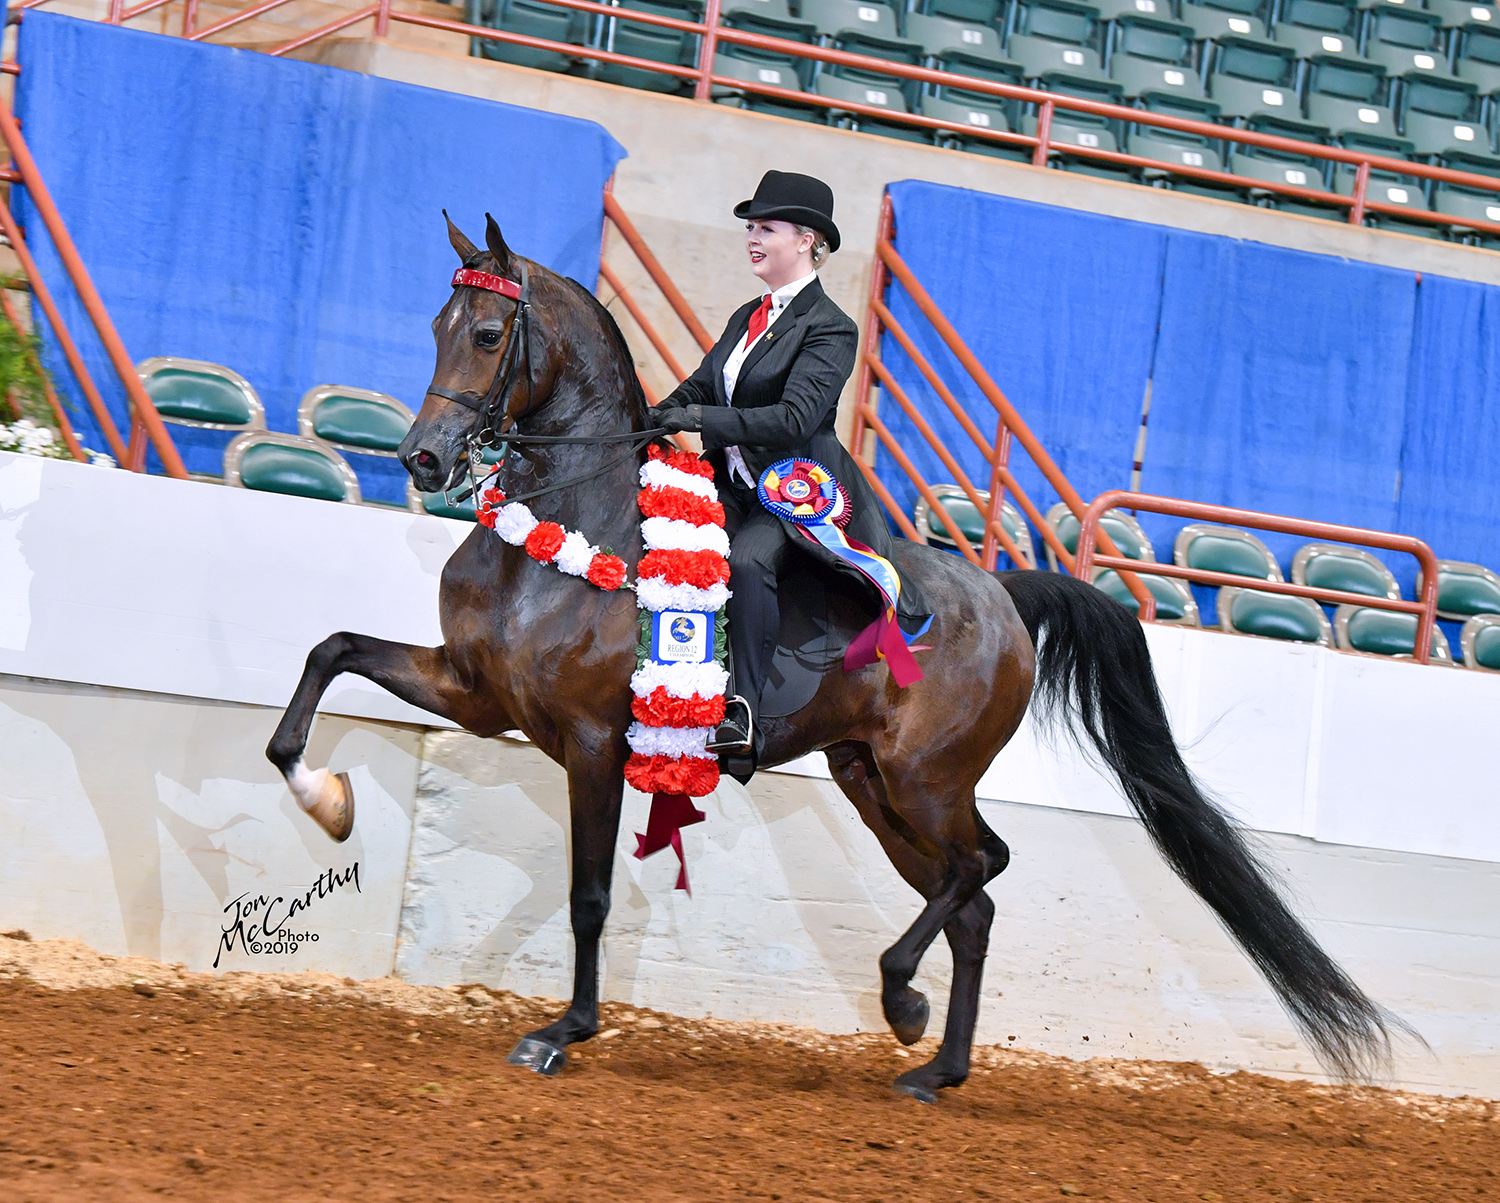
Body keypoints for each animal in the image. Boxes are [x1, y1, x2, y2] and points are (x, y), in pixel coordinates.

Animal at [266, 214, 1396, 1103]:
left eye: (491, 332)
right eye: (437, 325)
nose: (421, 460)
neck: (574, 525)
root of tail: (1004, 593)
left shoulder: (588, 740)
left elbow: (590, 896)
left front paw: (562, 1032)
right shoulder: (477, 693)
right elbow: (330, 652)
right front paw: (327, 801)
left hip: (926, 777)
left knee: (981, 868)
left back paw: (902, 1002)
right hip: (872, 782)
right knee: (974, 902)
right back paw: (936, 1067)